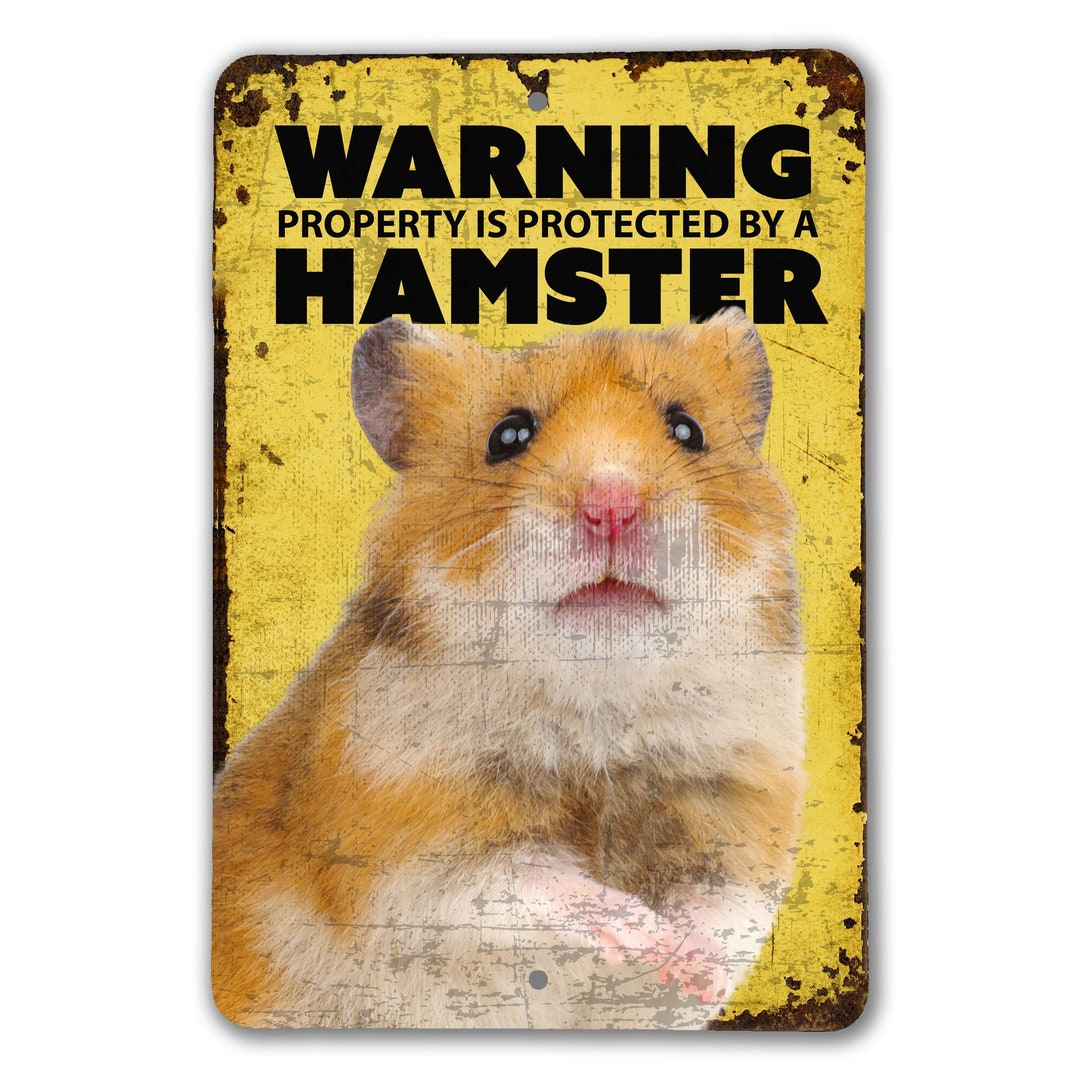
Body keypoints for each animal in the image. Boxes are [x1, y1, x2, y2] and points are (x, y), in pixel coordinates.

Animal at [212, 308, 804, 1029]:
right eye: (507, 436)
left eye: (688, 429)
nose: (612, 506)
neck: (601, 712)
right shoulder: (406, 846)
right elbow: (528, 885)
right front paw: (643, 936)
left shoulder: (745, 820)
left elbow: (723, 909)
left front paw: (691, 969)